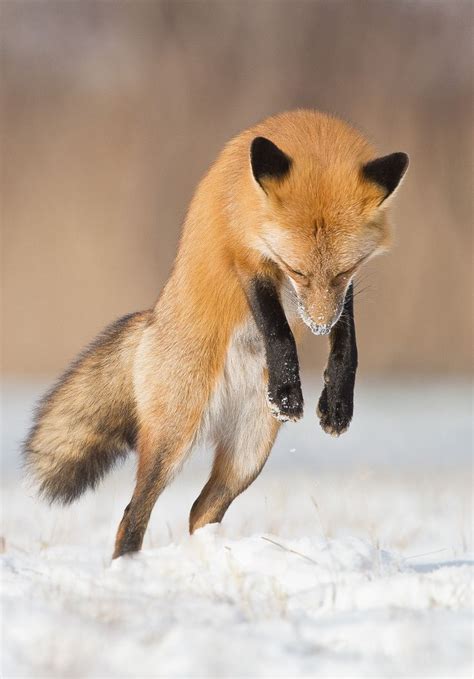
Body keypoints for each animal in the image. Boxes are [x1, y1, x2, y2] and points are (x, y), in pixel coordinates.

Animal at [23, 109, 408, 559]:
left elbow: (348, 345)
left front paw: (337, 403)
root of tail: (151, 322)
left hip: (249, 450)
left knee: (200, 510)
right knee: (132, 514)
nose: (317, 326)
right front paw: (287, 391)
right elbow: (277, 330)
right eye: (296, 271)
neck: (312, 137)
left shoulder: (342, 294)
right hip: (174, 438)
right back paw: (129, 567)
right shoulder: (246, 257)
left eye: (345, 269)